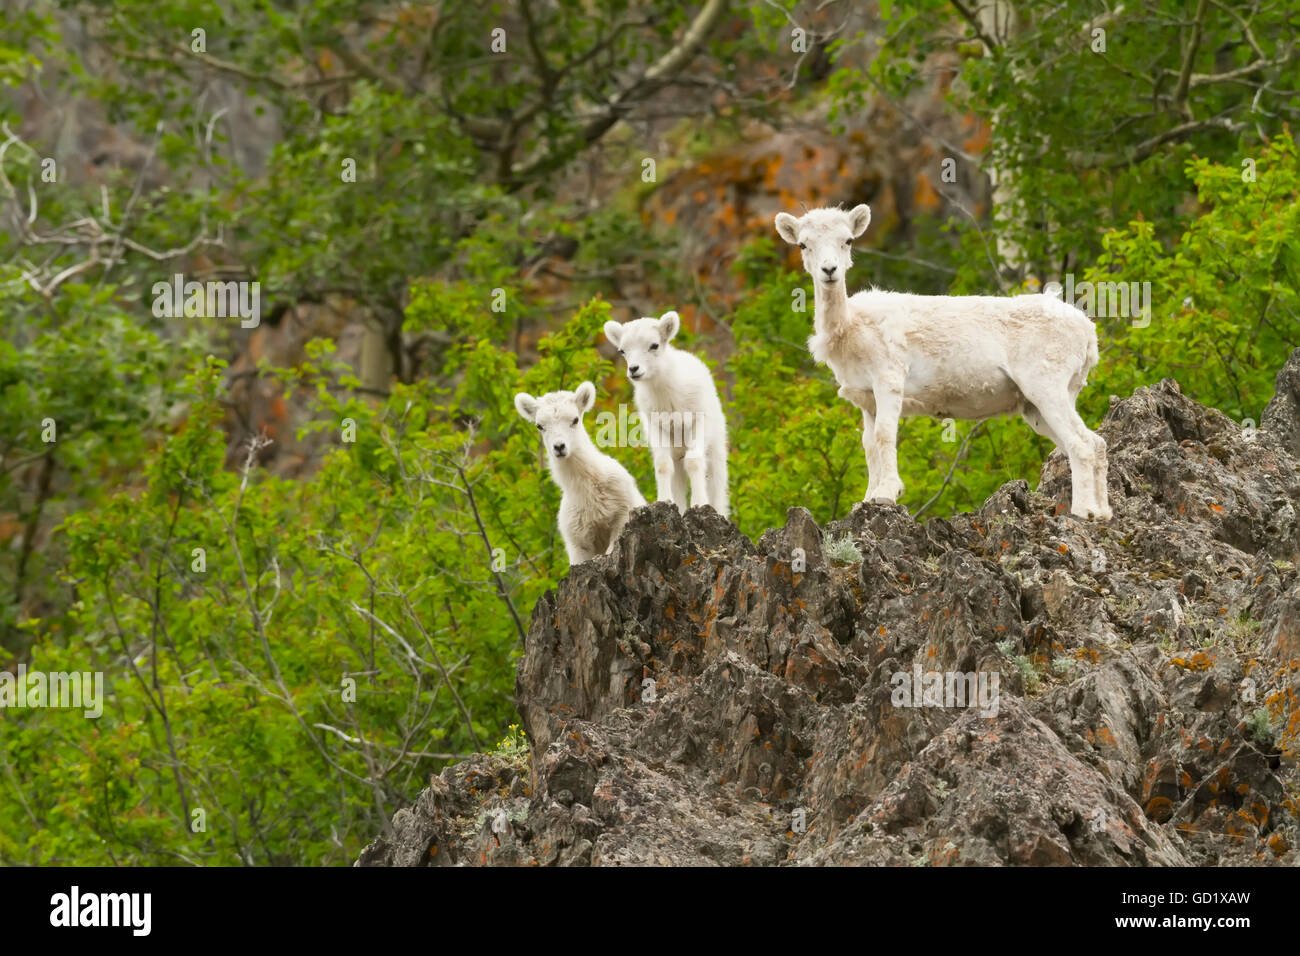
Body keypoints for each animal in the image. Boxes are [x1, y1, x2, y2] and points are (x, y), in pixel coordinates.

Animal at [514, 382, 647, 564]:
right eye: (539, 426)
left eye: (575, 419)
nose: (559, 447)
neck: (587, 490)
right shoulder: (578, 541)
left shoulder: (622, 514)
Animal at [603, 310, 730, 517]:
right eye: (622, 350)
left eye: (654, 345)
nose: (634, 369)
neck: (667, 394)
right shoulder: (656, 427)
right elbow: (662, 465)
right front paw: (664, 501)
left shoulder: (698, 422)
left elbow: (694, 462)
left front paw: (699, 503)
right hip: (677, 454)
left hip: (716, 450)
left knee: (716, 485)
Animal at [773, 203, 1111, 520]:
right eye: (803, 244)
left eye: (848, 240)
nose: (829, 270)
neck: (850, 328)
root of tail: (1087, 332)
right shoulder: (866, 400)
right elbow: (869, 444)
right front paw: (866, 500)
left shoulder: (888, 381)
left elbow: (885, 435)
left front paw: (886, 495)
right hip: (1037, 406)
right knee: (1094, 443)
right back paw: (1102, 513)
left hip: (1046, 387)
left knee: (1081, 445)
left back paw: (1083, 512)